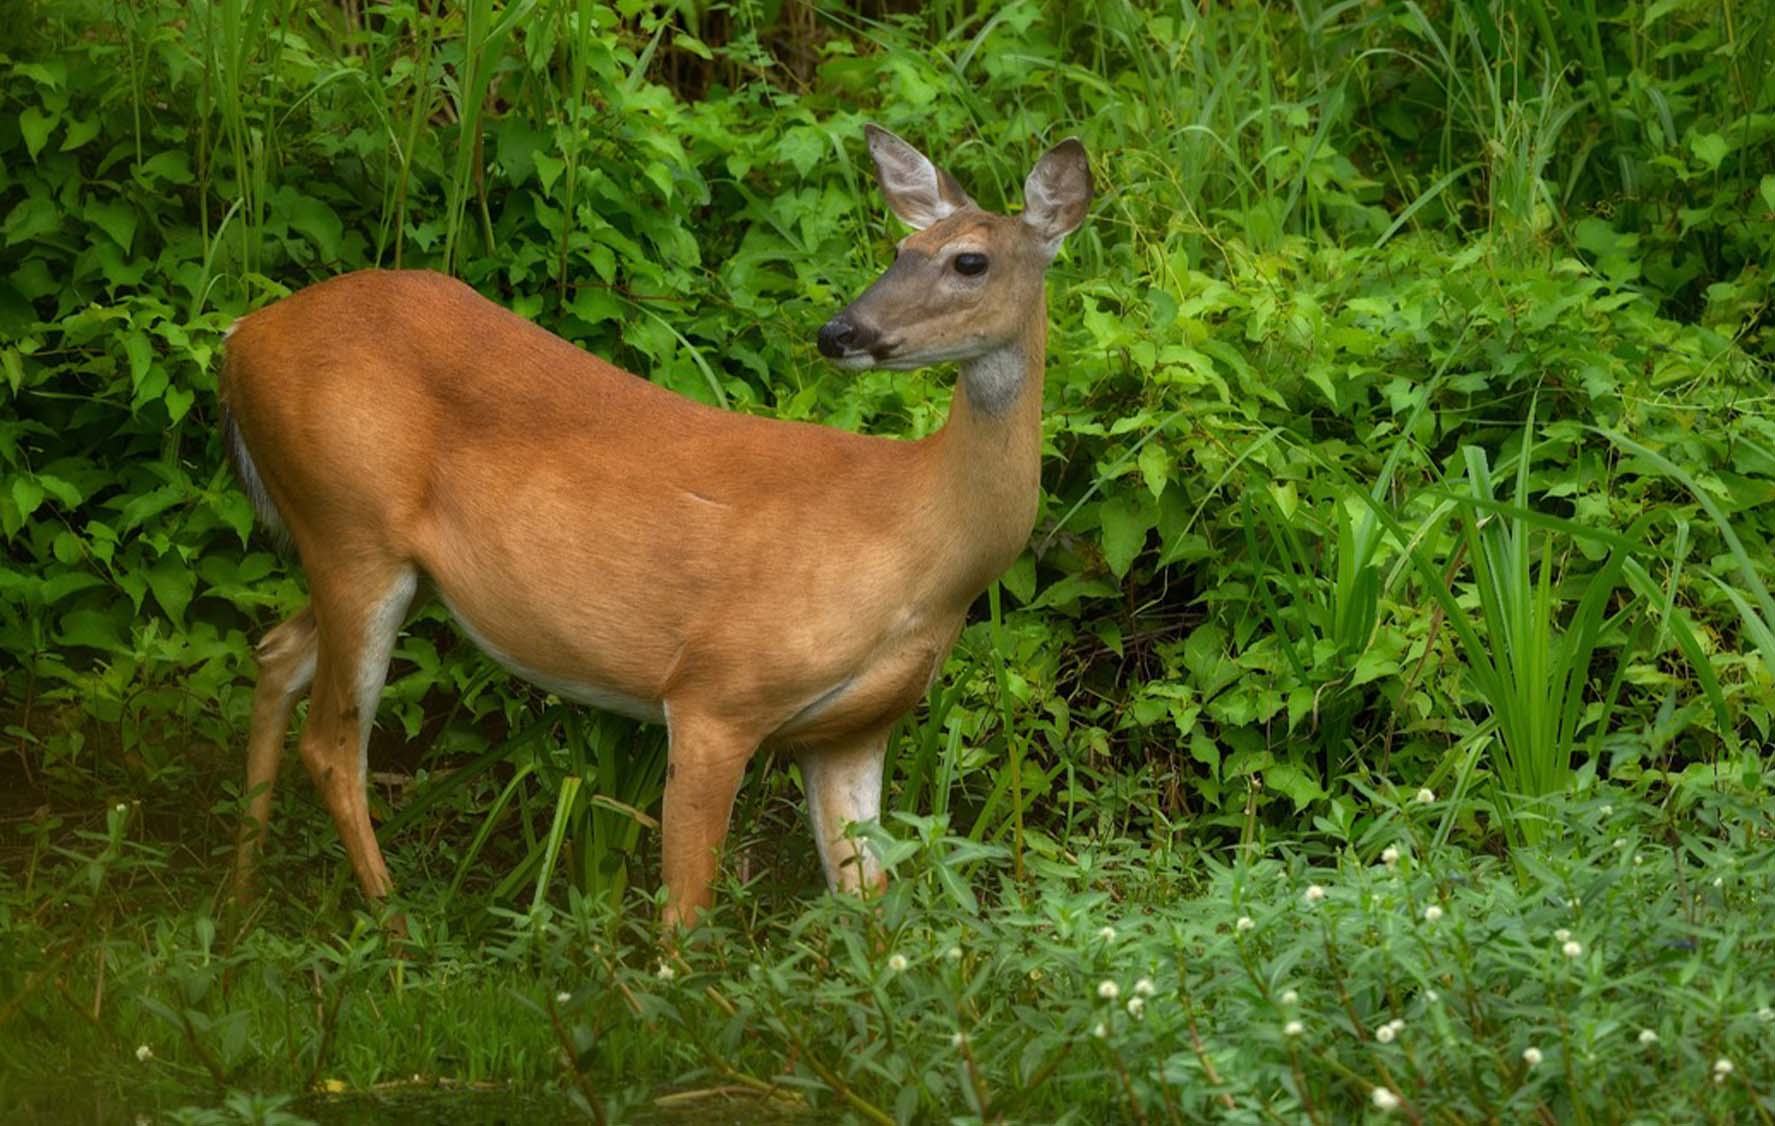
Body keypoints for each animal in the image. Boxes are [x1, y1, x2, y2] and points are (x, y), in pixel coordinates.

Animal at [222, 125, 1092, 928]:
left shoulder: (854, 732)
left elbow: (871, 919)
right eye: (903, 246)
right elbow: (685, 918)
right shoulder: (718, 690)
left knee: (276, 653)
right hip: (351, 528)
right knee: (333, 746)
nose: (837, 333)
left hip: (386, 561)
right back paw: (395, 935)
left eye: (969, 261)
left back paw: (240, 901)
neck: (917, 546)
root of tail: (240, 339)